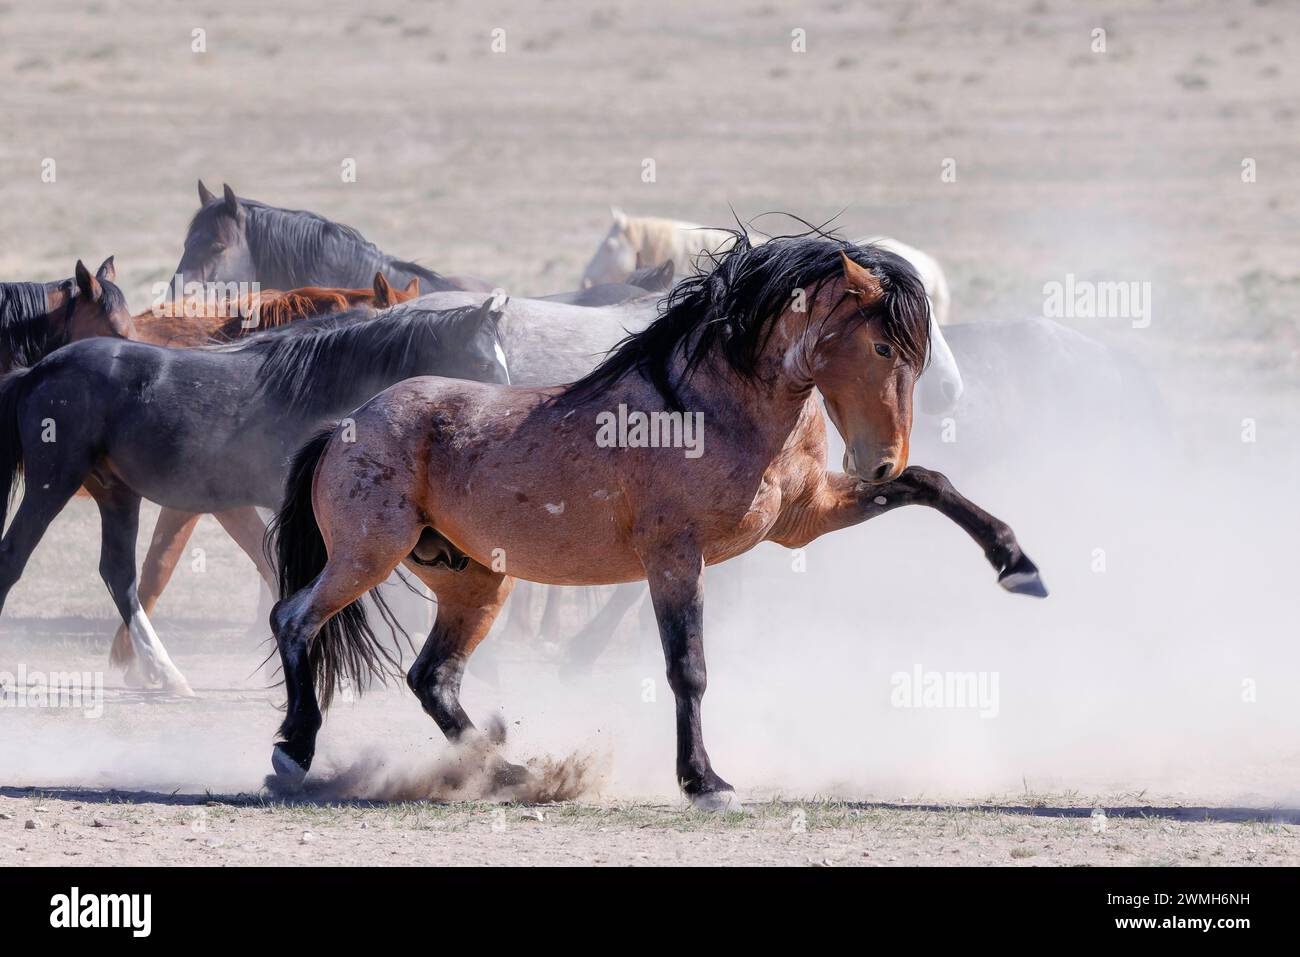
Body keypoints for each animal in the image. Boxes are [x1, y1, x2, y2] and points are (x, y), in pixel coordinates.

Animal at [0, 280, 510, 696]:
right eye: (483, 361)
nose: (503, 412)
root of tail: (38, 372)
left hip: (116, 493)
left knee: (119, 574)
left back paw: (166, 674)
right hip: (52, 485)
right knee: (14, 558)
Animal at [265, 234, 1046, 809]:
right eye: (884, 347)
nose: (879, 459)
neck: (713, 406)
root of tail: (346, 423)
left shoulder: (806, 517)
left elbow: (933, 485)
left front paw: (1018, 565)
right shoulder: (676, 557)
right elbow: (687, 668)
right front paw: (704, 782)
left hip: (477, 582)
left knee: (434, 677)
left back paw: (512, 772)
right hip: (369, 552)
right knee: (295, 618)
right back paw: (291, 753)